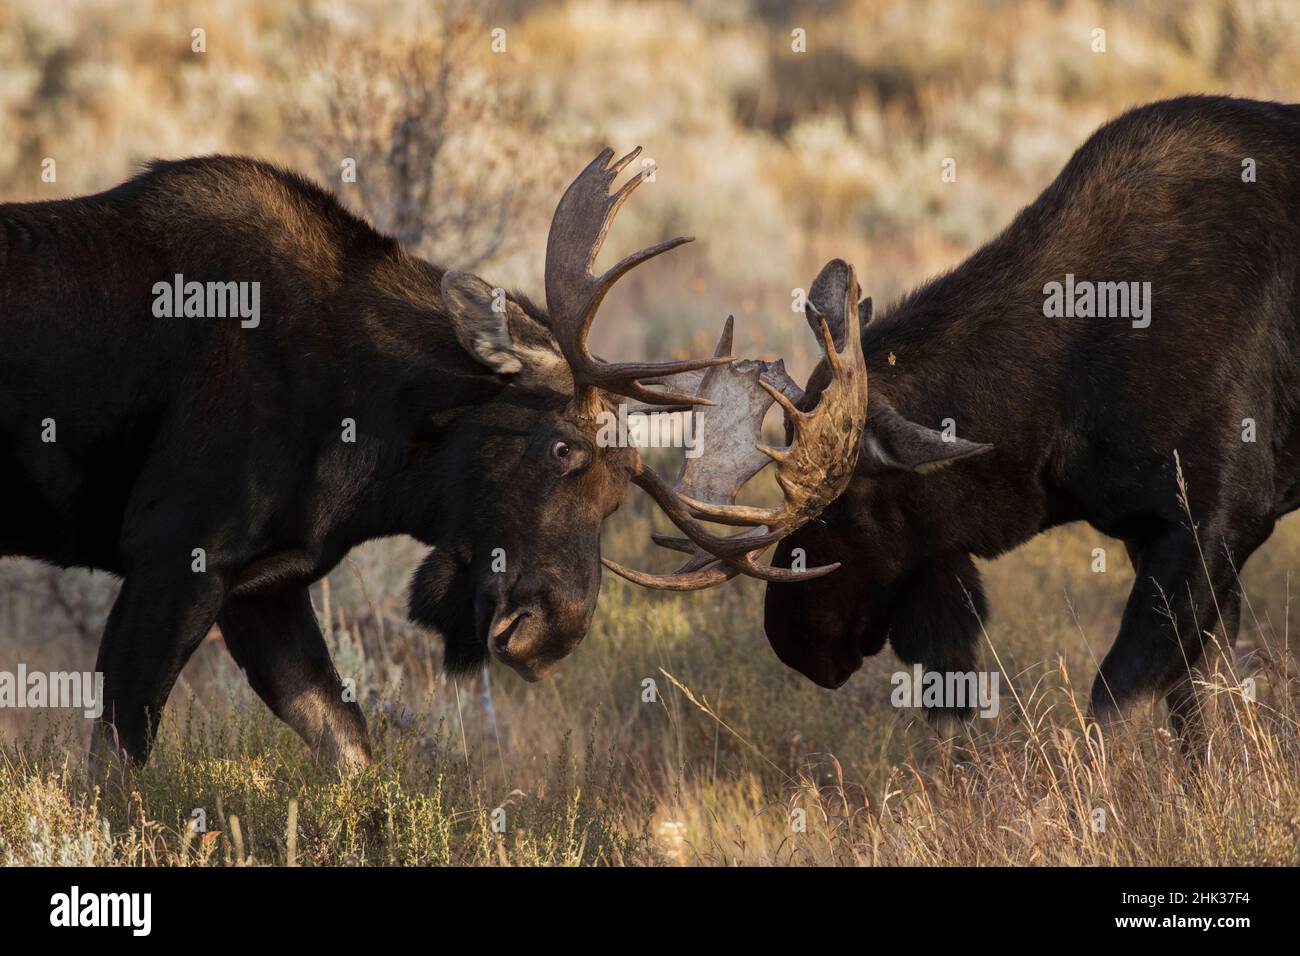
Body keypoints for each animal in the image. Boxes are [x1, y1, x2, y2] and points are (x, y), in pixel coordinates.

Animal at [0, 147, 854, 774]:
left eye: (619, 500)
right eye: (561, 447)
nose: (551, 633)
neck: (362, 435)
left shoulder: (261, 586)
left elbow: (349, 745)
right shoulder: (174, 556)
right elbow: (116, 772)